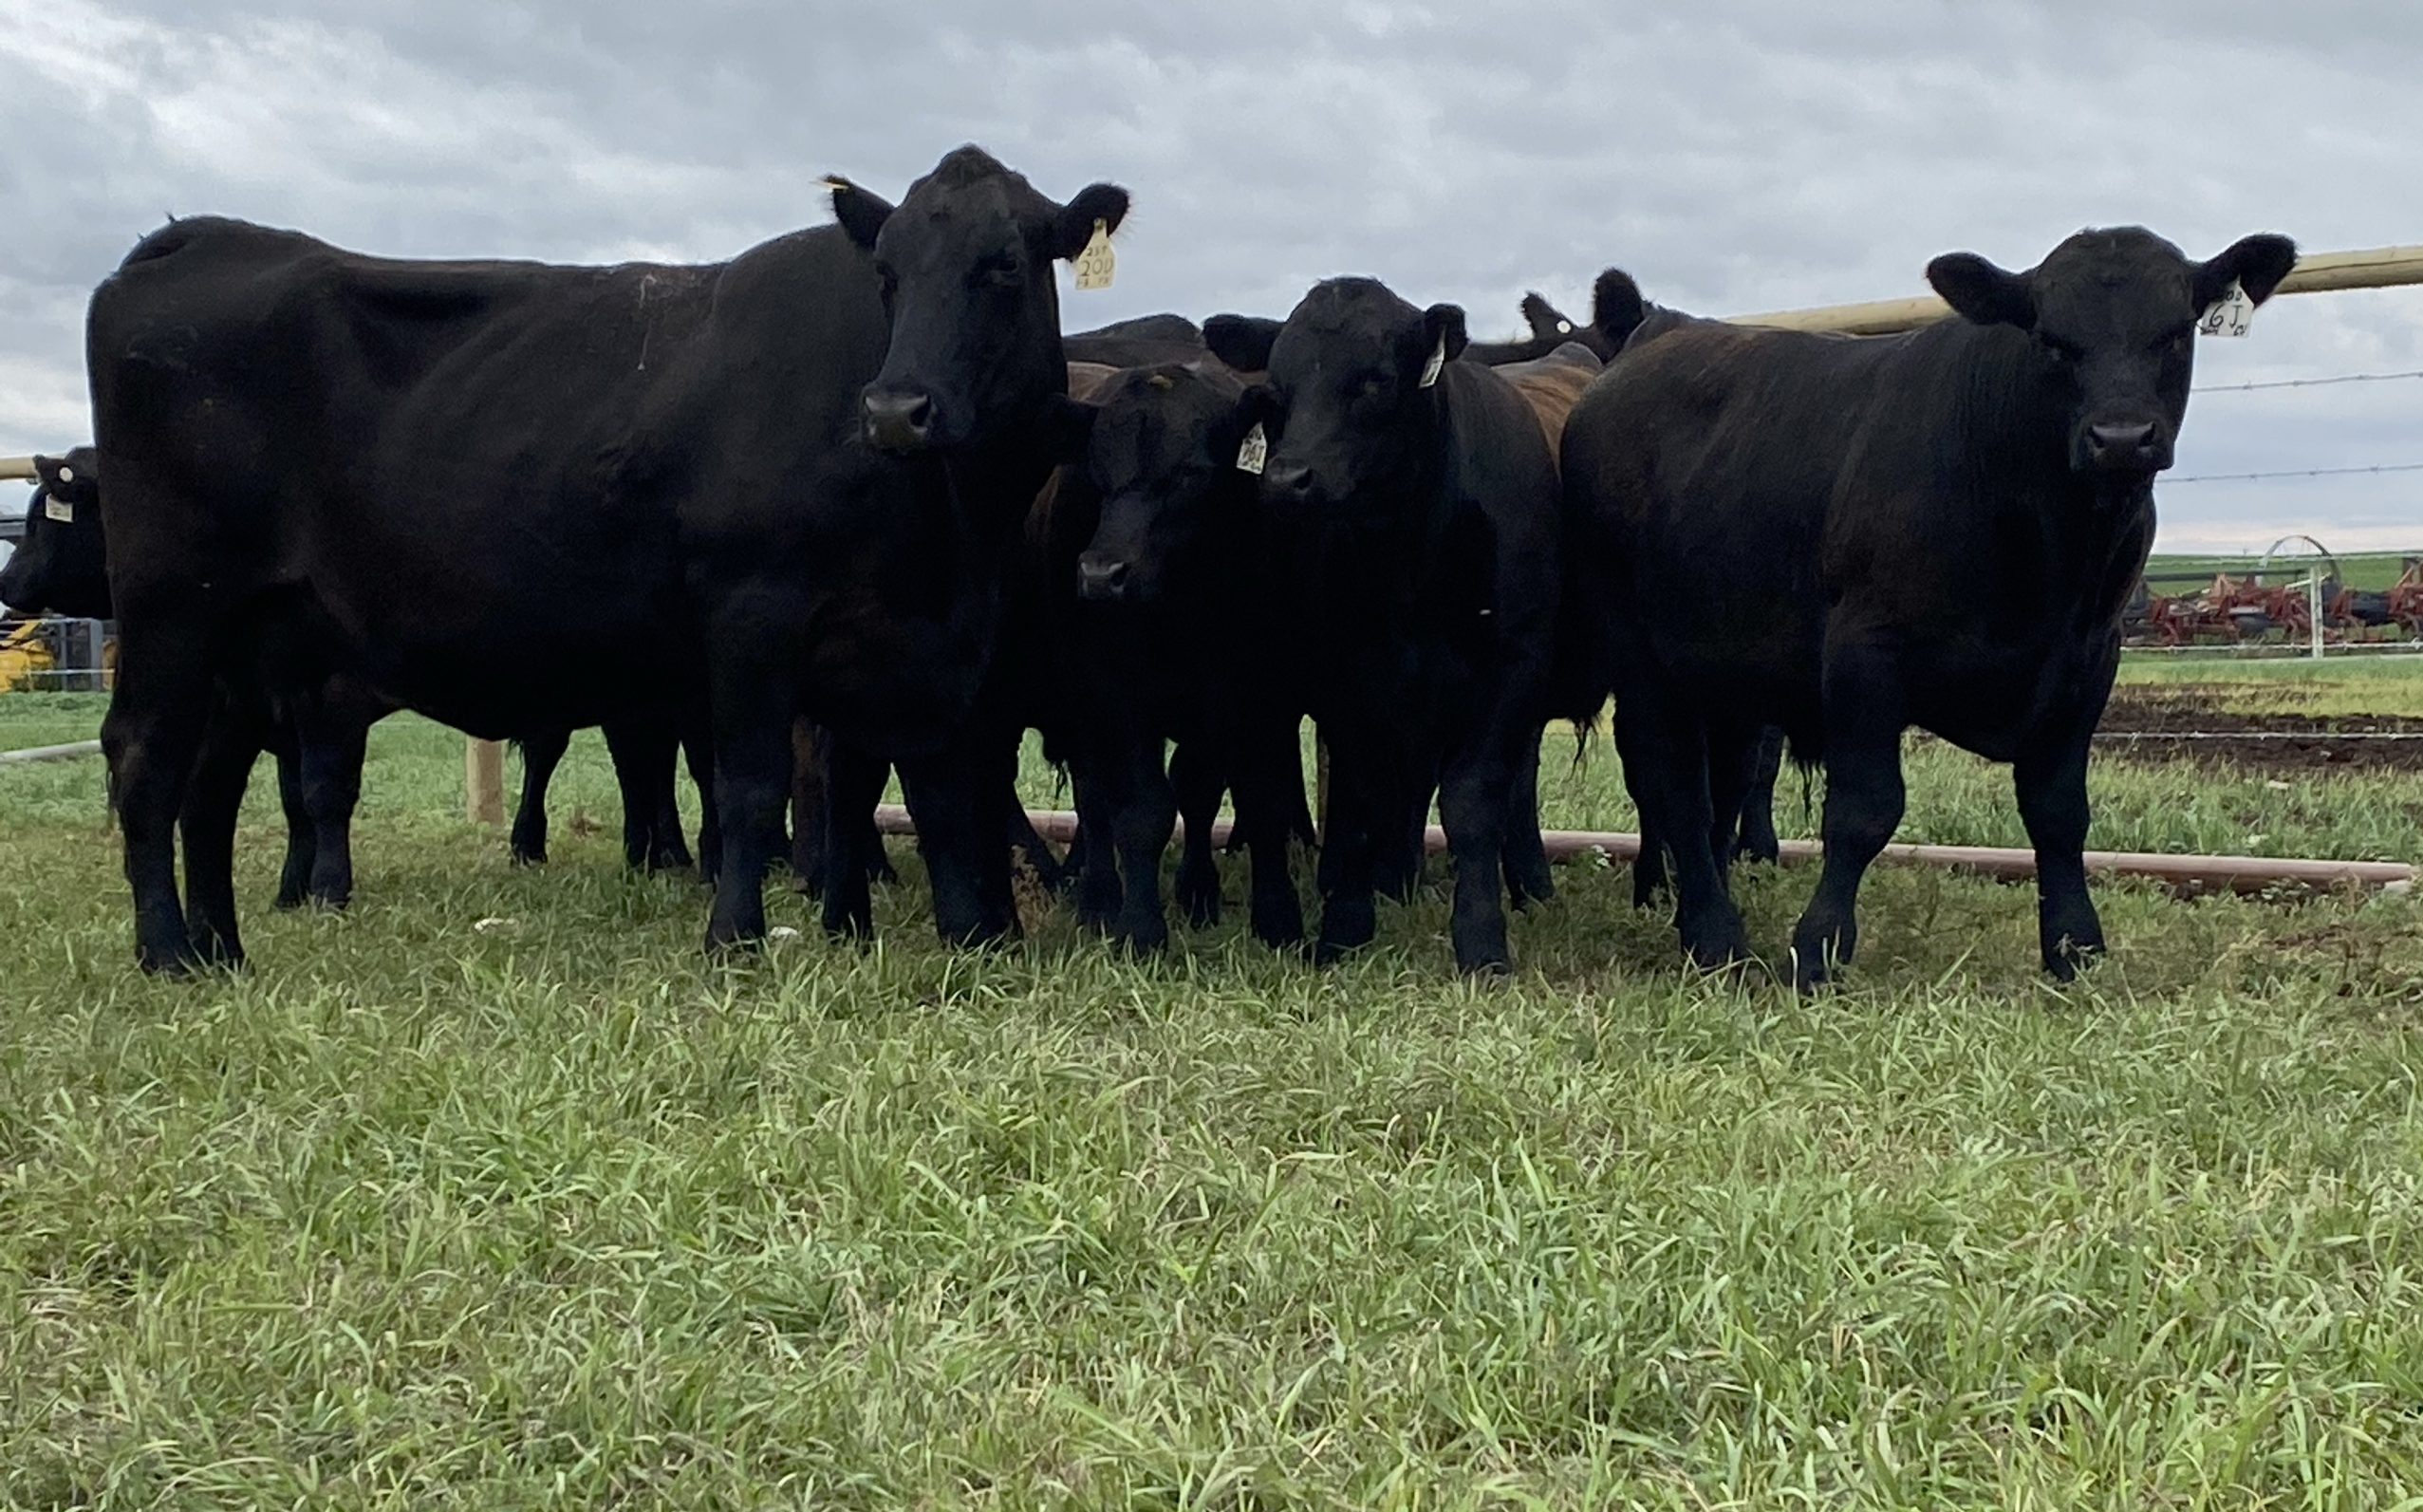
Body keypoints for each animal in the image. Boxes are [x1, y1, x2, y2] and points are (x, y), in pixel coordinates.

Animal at [85, 144, 1126, 972]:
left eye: (1002, 264)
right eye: (888, 274)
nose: (895, 410)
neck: (951, 538)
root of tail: (205, 239)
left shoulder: (931, 649)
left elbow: (947, 788)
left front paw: (975, 939)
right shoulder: (752, 611)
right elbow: (752, 790)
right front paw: (734, 940)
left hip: (245, 635)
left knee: (209, 782)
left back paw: (220, 947)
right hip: (172, 604)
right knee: (147, 759)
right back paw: (168, 952)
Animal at [1203, 278, 1567, 975]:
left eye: (1375, 381)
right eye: (1278, 387)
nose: (1287, 479)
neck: (1409, 557)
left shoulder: (1515, 665)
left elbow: (1473, 798)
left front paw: (1482, 942)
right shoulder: (1346, 676)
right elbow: (1364, 800)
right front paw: (1344, 930)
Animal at [1560, 226, 2298, 987]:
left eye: (2175, 332)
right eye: (2049, 339)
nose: (2121, 437)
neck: (2050, 547)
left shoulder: (2090, 660)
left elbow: (2059, 813)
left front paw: (2074, 948)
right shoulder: (1865, 653)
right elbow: (1862, 811)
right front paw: (1817, 949)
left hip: (1727, 667)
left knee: (1725, 784)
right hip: (1643, 652)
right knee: (1672, 782)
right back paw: (1713, 936)